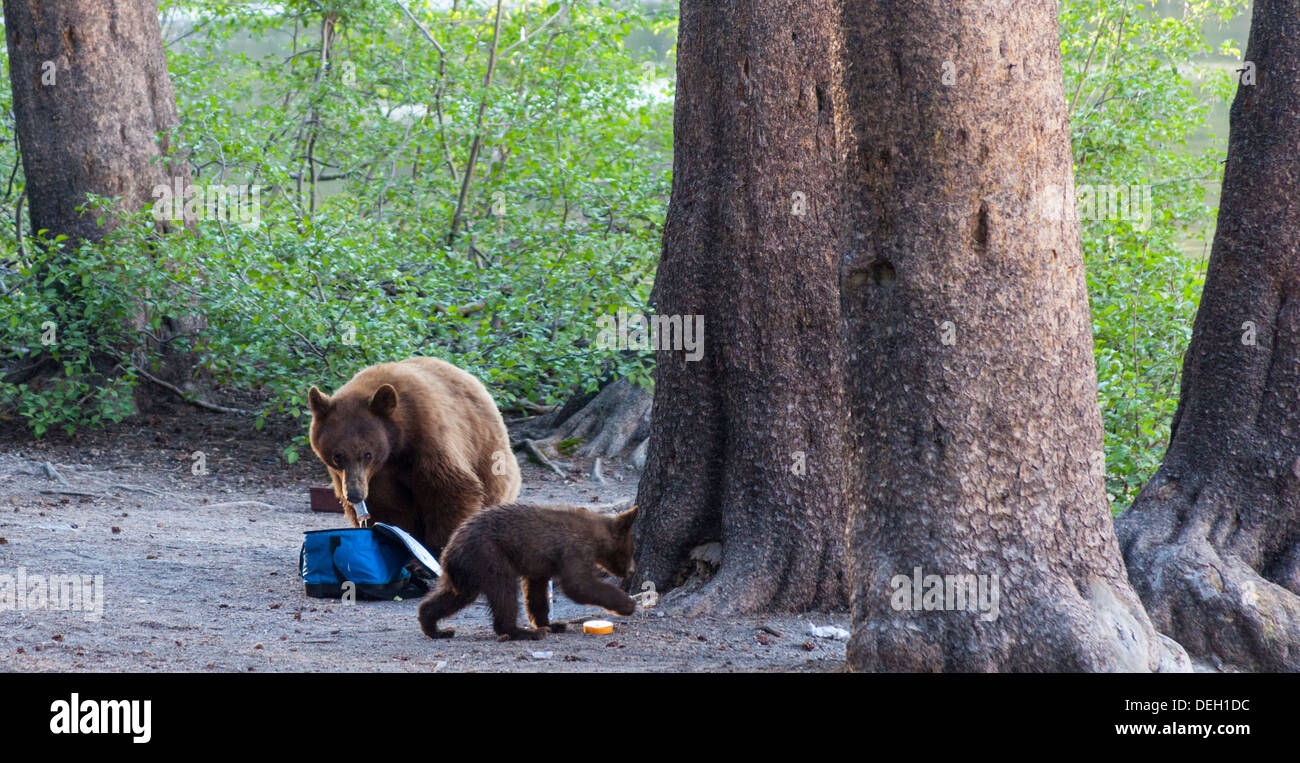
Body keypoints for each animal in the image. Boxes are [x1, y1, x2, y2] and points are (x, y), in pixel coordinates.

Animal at [307, 356, 521, 555]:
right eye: (337, 456)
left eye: (367, 454)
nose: (354, 494)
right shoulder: (375, 479)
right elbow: (388, 508)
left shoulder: (427, 439)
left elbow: (450, 489)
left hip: (487, 453)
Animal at [417, 502, 638, 641]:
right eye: (630, 550)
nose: (631, 571)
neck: (595, 537)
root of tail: (448, 552)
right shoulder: (572, 549)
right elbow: (579, 585)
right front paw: (627, 603)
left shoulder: (539, 565)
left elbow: (536, 593)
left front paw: (551, 624)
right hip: (489, 554)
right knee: (504, 592)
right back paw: (521, 632)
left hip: (468, 571)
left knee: (454, 596)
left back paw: (435, 627)